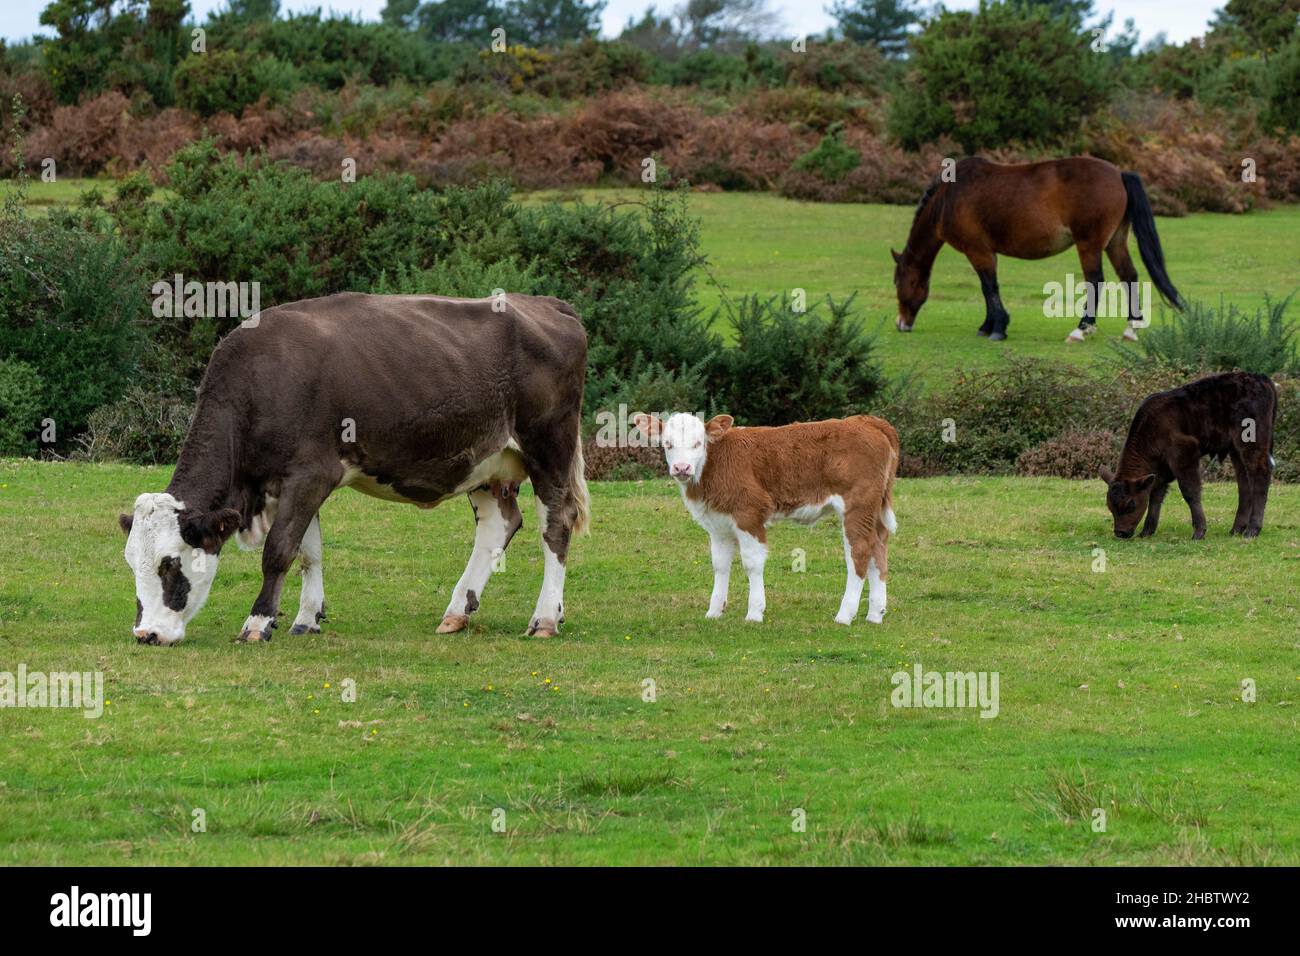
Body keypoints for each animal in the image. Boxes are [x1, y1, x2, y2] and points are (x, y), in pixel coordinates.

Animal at [119, 292, 590, 645]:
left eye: (169, 564)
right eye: (131, 563)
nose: (146, 634)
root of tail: (546, 303)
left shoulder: (310, 473)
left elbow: (279, 550)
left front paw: (257, 622)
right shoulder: (293, 482)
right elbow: (308, 551)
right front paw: (306, 618)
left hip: (548, 445)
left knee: (557, 523)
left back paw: (546, 618)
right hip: (484, 462)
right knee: (499, 525)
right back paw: (457, 611)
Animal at [633, 412, 899, 625]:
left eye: (698, 443)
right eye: (668, 444)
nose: (681, 468)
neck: (713, 464)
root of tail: (867, 421)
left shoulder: (749, 513)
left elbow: (752, 563)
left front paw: (754, 612)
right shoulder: (718, 524)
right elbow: (720, 564)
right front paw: (714, 611)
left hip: (858, 505)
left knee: (860, 551)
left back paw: (845, 615)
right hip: (874, 511)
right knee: (878, 549)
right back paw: (875, 614)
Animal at [890, 157, 1182, 342]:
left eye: (901, 283)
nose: (901, 324)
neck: (948, 199)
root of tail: (1119, 174)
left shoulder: (978, 251)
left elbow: (989, 286)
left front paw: (998, 327)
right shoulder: (986, 253)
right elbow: (988, 289)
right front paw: (988, 325)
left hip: (1089, 244)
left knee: (1095, 280)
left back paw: (1081, 329)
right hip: (1115, 241)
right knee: (1128, 276)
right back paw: (1131, 328)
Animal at [1100, 371, 1277, 540]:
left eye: (1131, 505)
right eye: (1109, 506)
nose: (1120, 532)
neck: (1151, 428)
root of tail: (1259, 377)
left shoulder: (1184, 453)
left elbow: (1190, 492)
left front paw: (1199, 531)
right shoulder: (1161, 468)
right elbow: (1156, 496)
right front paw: (1147, 531)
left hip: (1252, 442)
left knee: (1260, 473)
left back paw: (1252, 529)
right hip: (1235, 449)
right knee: (1244, 482)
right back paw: (1237, 529)